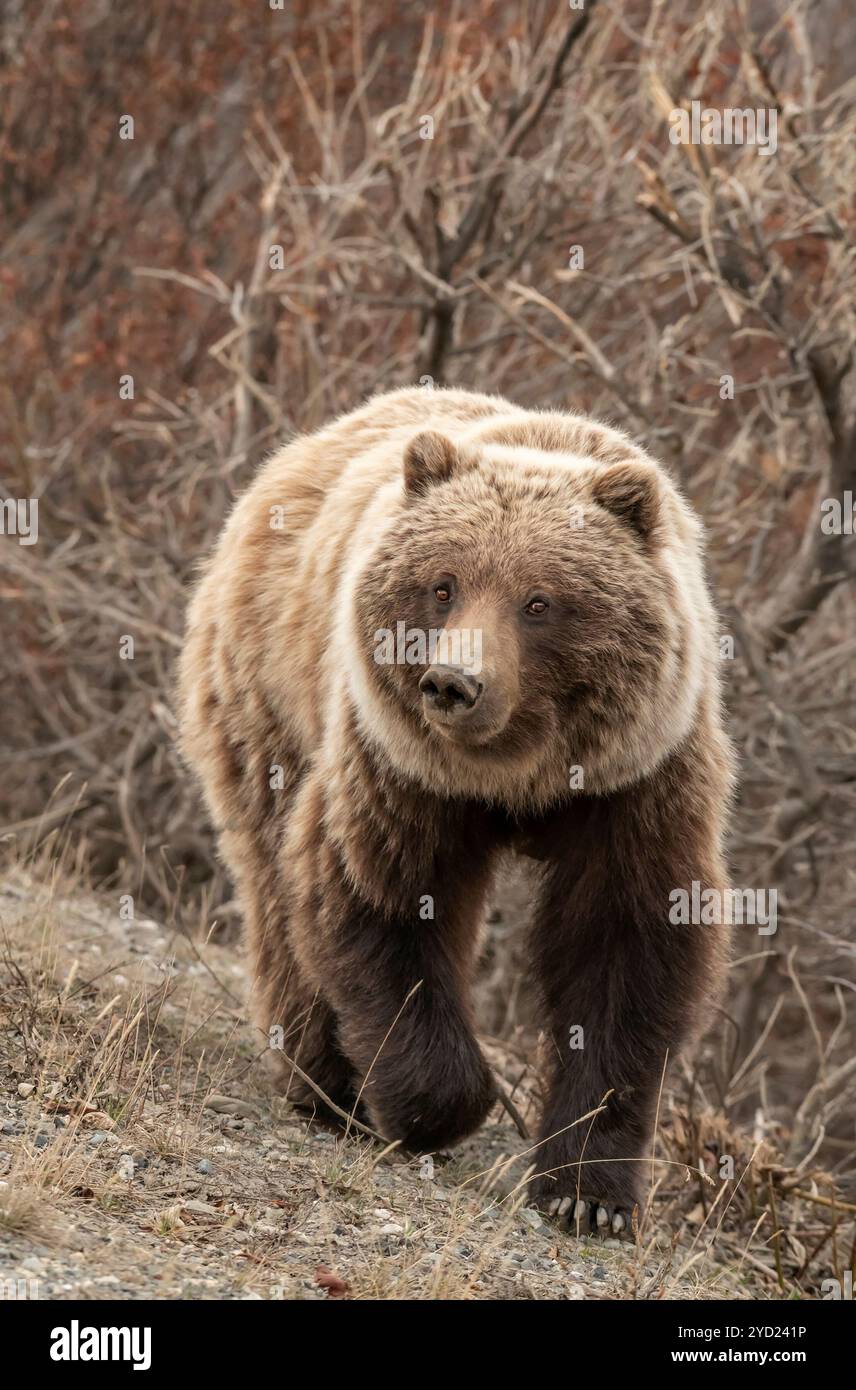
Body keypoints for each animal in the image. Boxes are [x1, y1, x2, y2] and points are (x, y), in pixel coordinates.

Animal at [178, 385, 734, 1236]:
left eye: (539, 601)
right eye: (443, 584)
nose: (453, 683)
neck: (517, 776)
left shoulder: (637, 782)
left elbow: (626, 944)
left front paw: (587, 1191)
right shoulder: (400, 766)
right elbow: (382, 895)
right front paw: (437, 1104)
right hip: (266, 690)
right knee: (274, 875)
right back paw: (322, 1084)